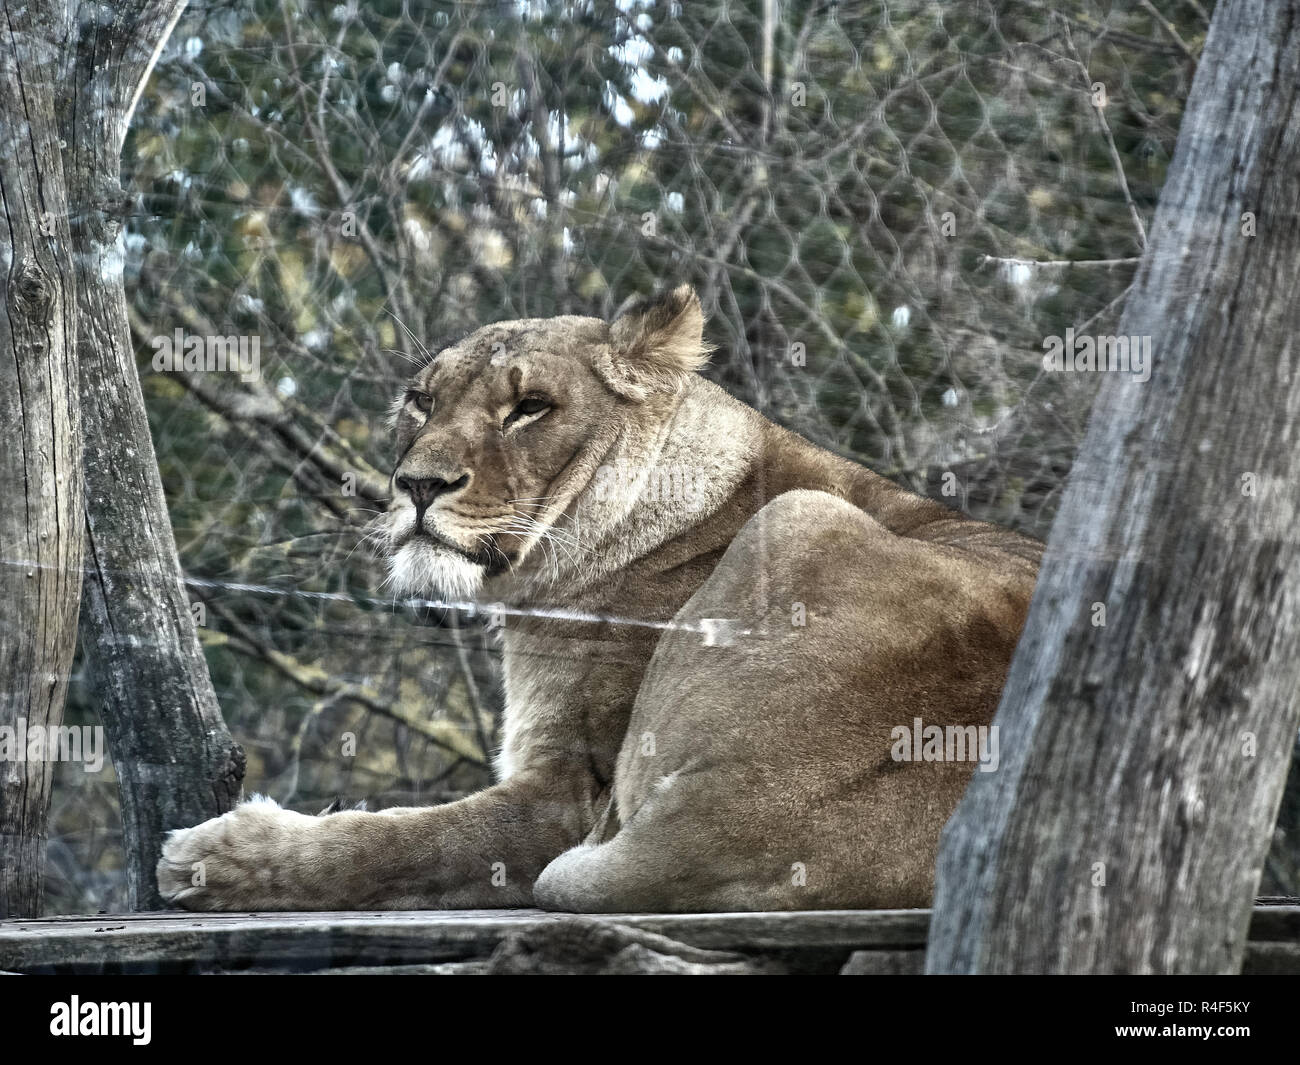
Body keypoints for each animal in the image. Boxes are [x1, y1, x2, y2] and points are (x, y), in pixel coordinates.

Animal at [157, 285, 1042, 912]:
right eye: (421, 400)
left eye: (529, 408)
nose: (417, 485)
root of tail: (712, 826)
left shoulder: (570, 791)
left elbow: (407, 841)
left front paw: (219, 856)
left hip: (799, 521)